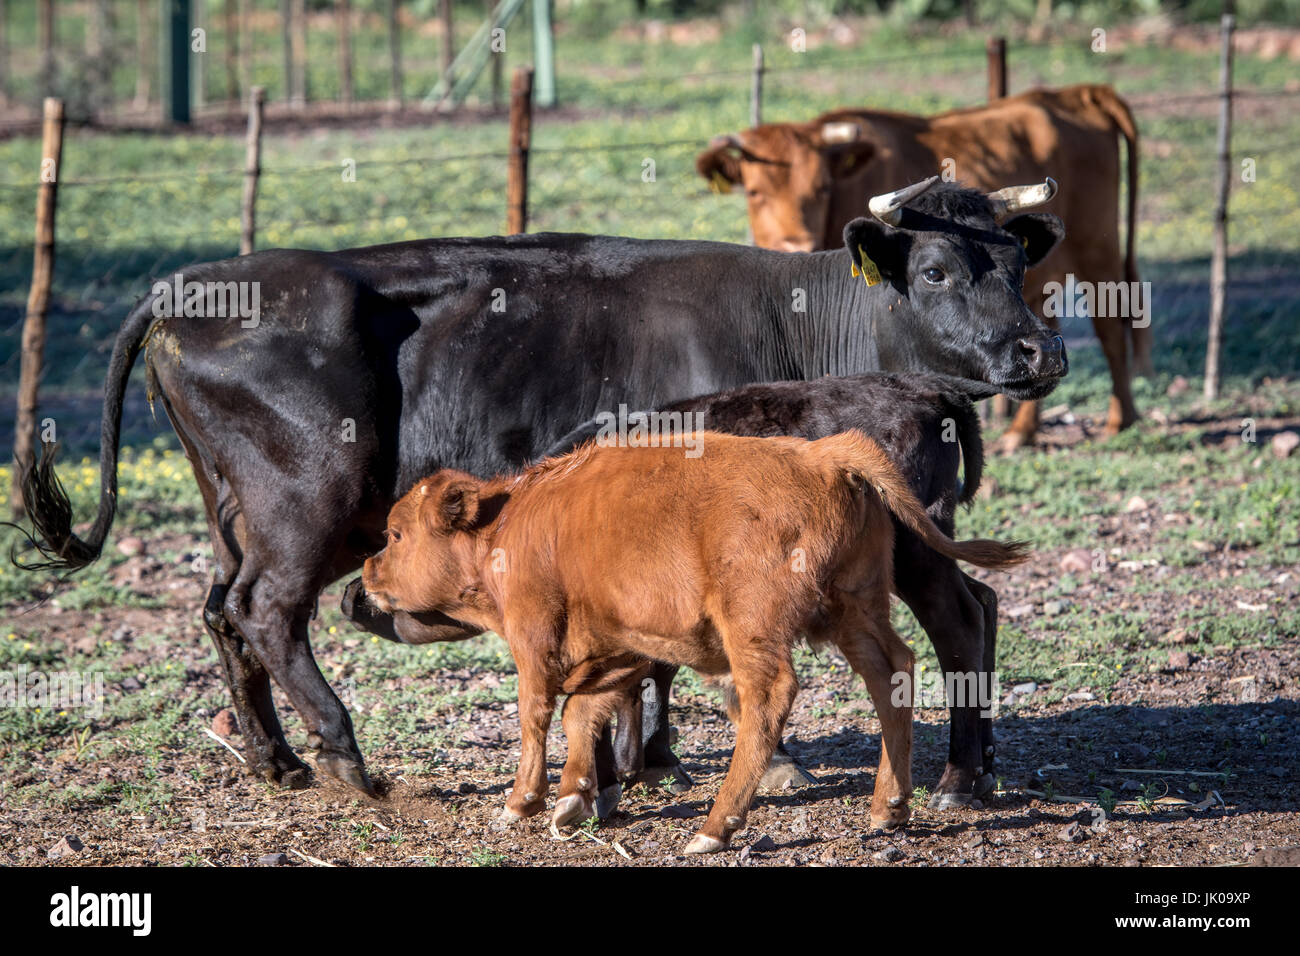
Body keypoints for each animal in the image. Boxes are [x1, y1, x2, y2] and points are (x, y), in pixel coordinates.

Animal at [360, 430, 1028, 852]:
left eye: (396, 533)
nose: (367, 571)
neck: (511, 520)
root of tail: (825, 455)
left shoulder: (535, 636)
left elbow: (537, 713)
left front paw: (522, 800)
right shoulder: (624, 646)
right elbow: (584, 712)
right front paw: (574, 798)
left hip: (756, 627)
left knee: (768, 696)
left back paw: (715, 826)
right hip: (854, 612)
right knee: (893, 670)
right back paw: (890, 807)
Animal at [543, 371, 1003, 807]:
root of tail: (926, 387)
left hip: (914, 550)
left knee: (957, 626)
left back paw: (956, 781)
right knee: (983, 600)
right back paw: (983, 770)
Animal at [696, 84, 1147, 450]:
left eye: (822, 188)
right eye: (754, 191)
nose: (796, 242)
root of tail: (1074, 93)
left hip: (1098, 250)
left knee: (1109, 326)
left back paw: (1119, 420)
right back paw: (1022, 431)